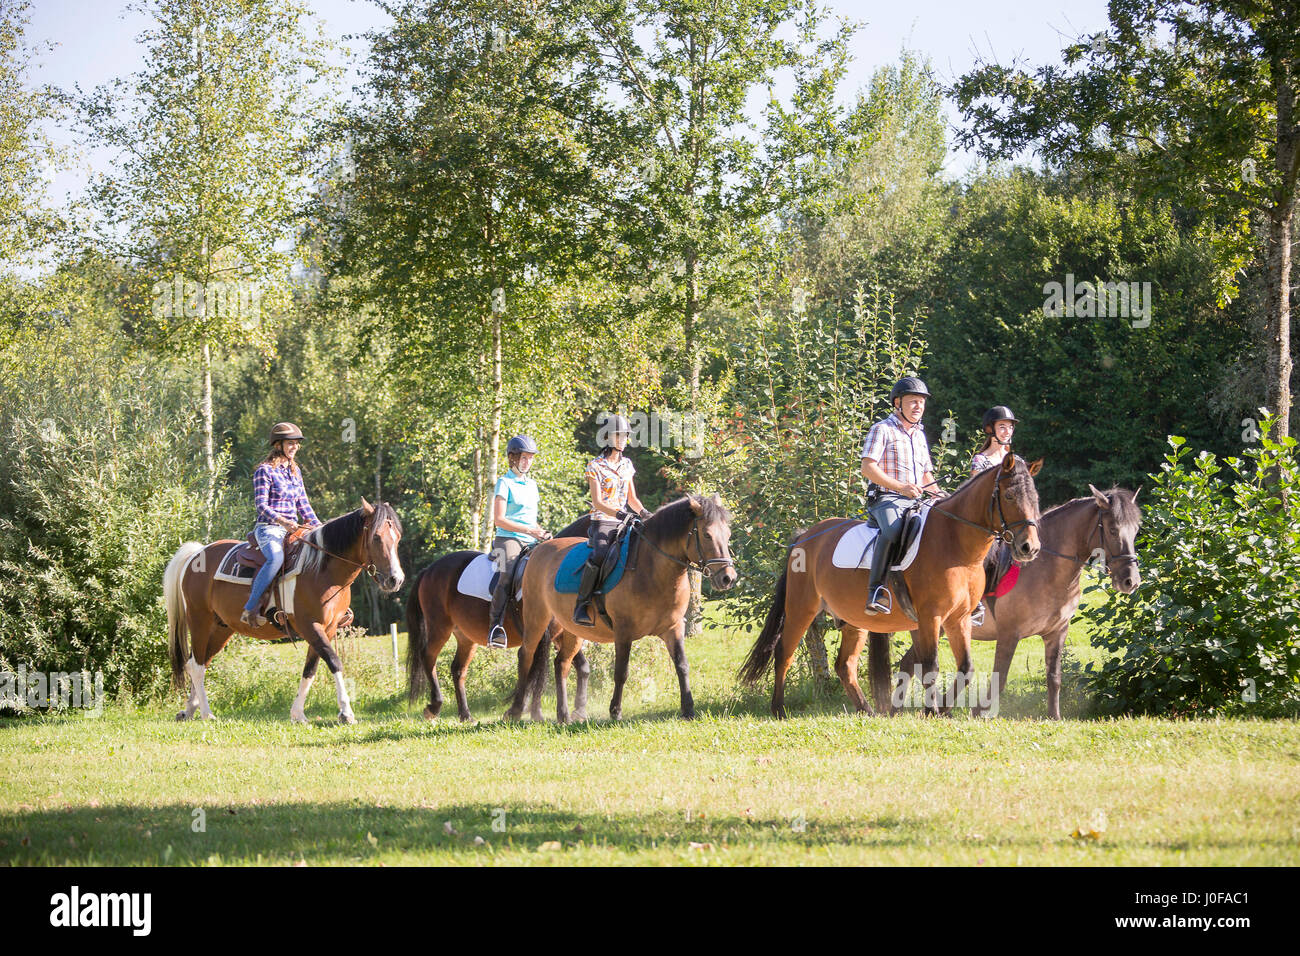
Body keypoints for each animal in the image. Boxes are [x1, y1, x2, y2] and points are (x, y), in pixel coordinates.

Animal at [162, 498, 404, 724]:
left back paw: (189, 710)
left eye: (398, 538)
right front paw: (346, 712)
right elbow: (334, 661)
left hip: (221, 629)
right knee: (196, 665)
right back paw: (206, 713)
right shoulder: (310, 626)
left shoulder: (327, 628)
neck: (321, 570)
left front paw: (298, 714)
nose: (396, 579)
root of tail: (196, 554)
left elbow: (310, 669)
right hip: (199, 621)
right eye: (376, 537)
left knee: (200, 662)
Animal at [505, 495, 738, 724]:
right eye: (707, 535)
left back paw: (563, 715)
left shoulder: (673, 628)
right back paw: (515, 710)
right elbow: (621, 672)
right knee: (526, 655)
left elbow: (682, 665)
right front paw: (615, 711)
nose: (728, 578)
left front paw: (688, 709)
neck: (652, 570)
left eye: (727, 534)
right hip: (537, 617)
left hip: (570, 628)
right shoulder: (624, 632)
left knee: (561, 663)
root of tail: (538, 549)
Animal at [740, 455, 1043, 718]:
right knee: (785, 653)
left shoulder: (958, 618)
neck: (956, 544)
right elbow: (929, 664)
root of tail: (805, 537)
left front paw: (942, 709)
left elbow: (965, 667)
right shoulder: (930, 617)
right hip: (802, 608)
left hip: (854, 620)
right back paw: (778, 709)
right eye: (1009, 496)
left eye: (1035, 499)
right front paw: (932, 710)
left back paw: (867, 711)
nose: (1030, 547)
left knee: (845, 665)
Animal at [892, 484, 1141, 718]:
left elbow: (1054, 677)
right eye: (1112, 529)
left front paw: (1054, 716)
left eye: (1136, 531)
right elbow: (1000, 678)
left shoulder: (1057, 632)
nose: (1131, 581)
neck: (1047, 568)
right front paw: (978, 710)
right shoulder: (1009, 633)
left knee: (908, 664)